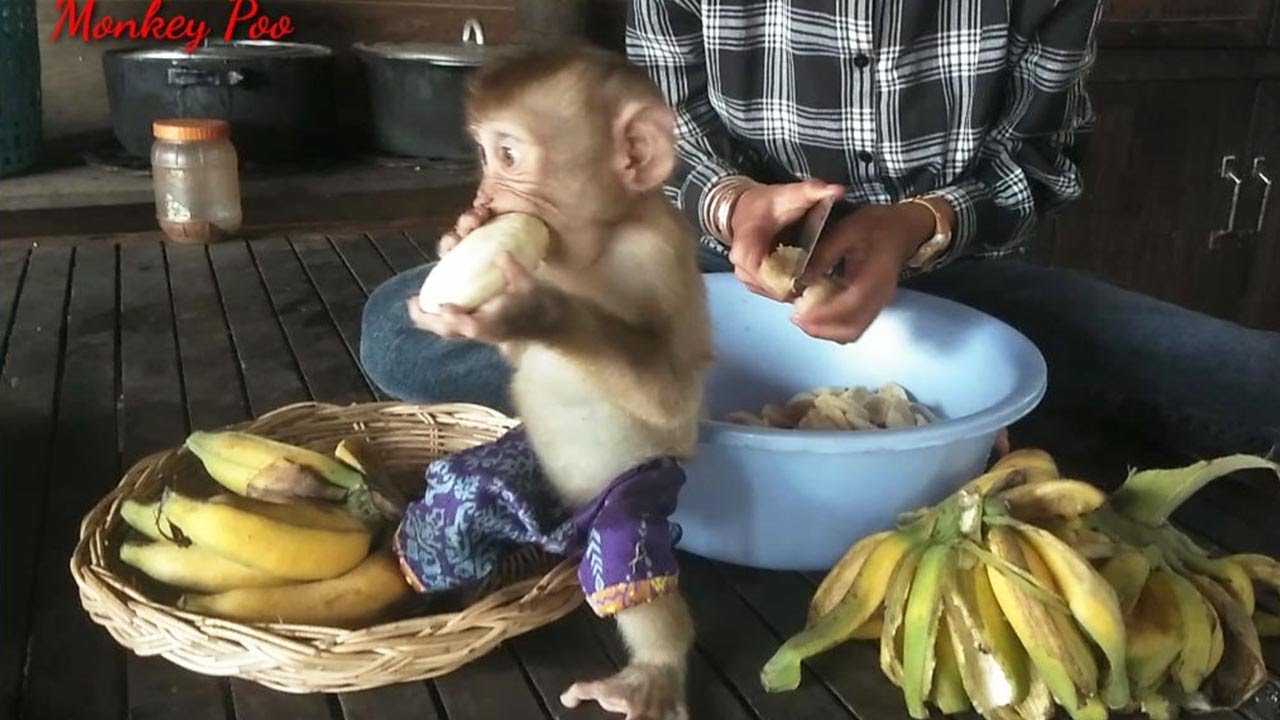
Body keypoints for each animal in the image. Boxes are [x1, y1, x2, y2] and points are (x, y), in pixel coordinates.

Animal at [405, 44, 713, 720]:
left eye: (509, 155)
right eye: (484, 155)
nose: (485, 195)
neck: (590, 245)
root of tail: (553, 530)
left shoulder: (657, 255)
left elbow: (671, 391)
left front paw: (538, 308)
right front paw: (457, 235)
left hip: (633, 492)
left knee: (626, 553)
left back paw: (650, 674)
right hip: (513, 473)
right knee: (454, 502)